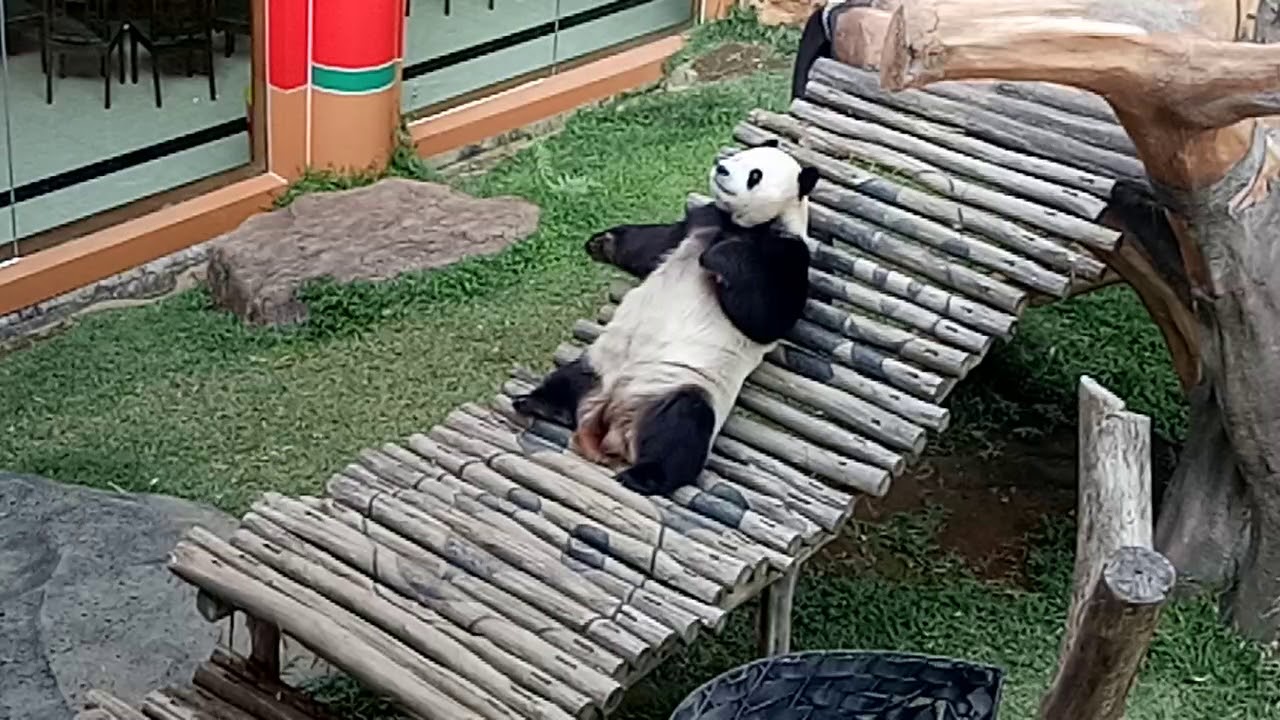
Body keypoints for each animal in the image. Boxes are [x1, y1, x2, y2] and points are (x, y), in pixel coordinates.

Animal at [513, 141, 820, 497]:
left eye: (755, 175)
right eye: (739, 155)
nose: (722, 168)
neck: (741, 225)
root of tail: (609, 420)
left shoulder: (787, 253)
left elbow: (768, 317)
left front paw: (720, 256)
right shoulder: (698, 223)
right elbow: (654, 243)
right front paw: (602, 242)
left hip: (679, 385)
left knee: (681, 429)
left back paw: (645, 475)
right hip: (600, 363)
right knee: (568, 380)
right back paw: (536, 402)